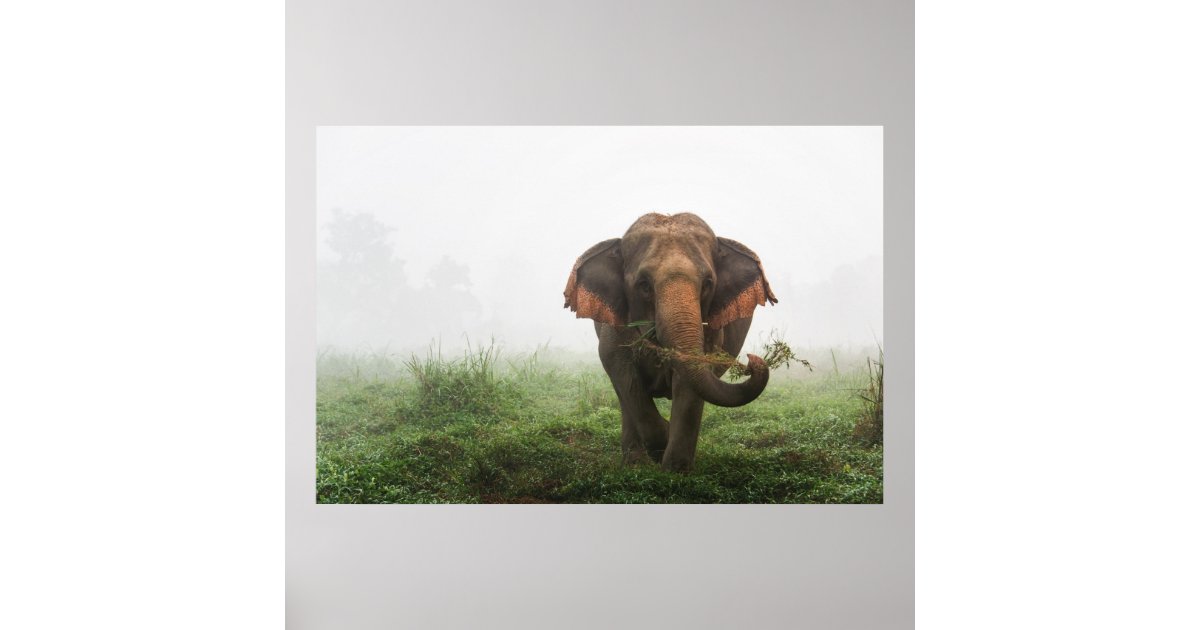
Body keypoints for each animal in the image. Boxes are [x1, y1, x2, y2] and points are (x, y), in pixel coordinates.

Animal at [563, 212, 777, 472]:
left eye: (707, 283)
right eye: (644, 285)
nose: (753, 361)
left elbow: (690, 381)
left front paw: (676, 470)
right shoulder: (613, 327)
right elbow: (621, 370)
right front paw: (660, 444)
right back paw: (633, 463)